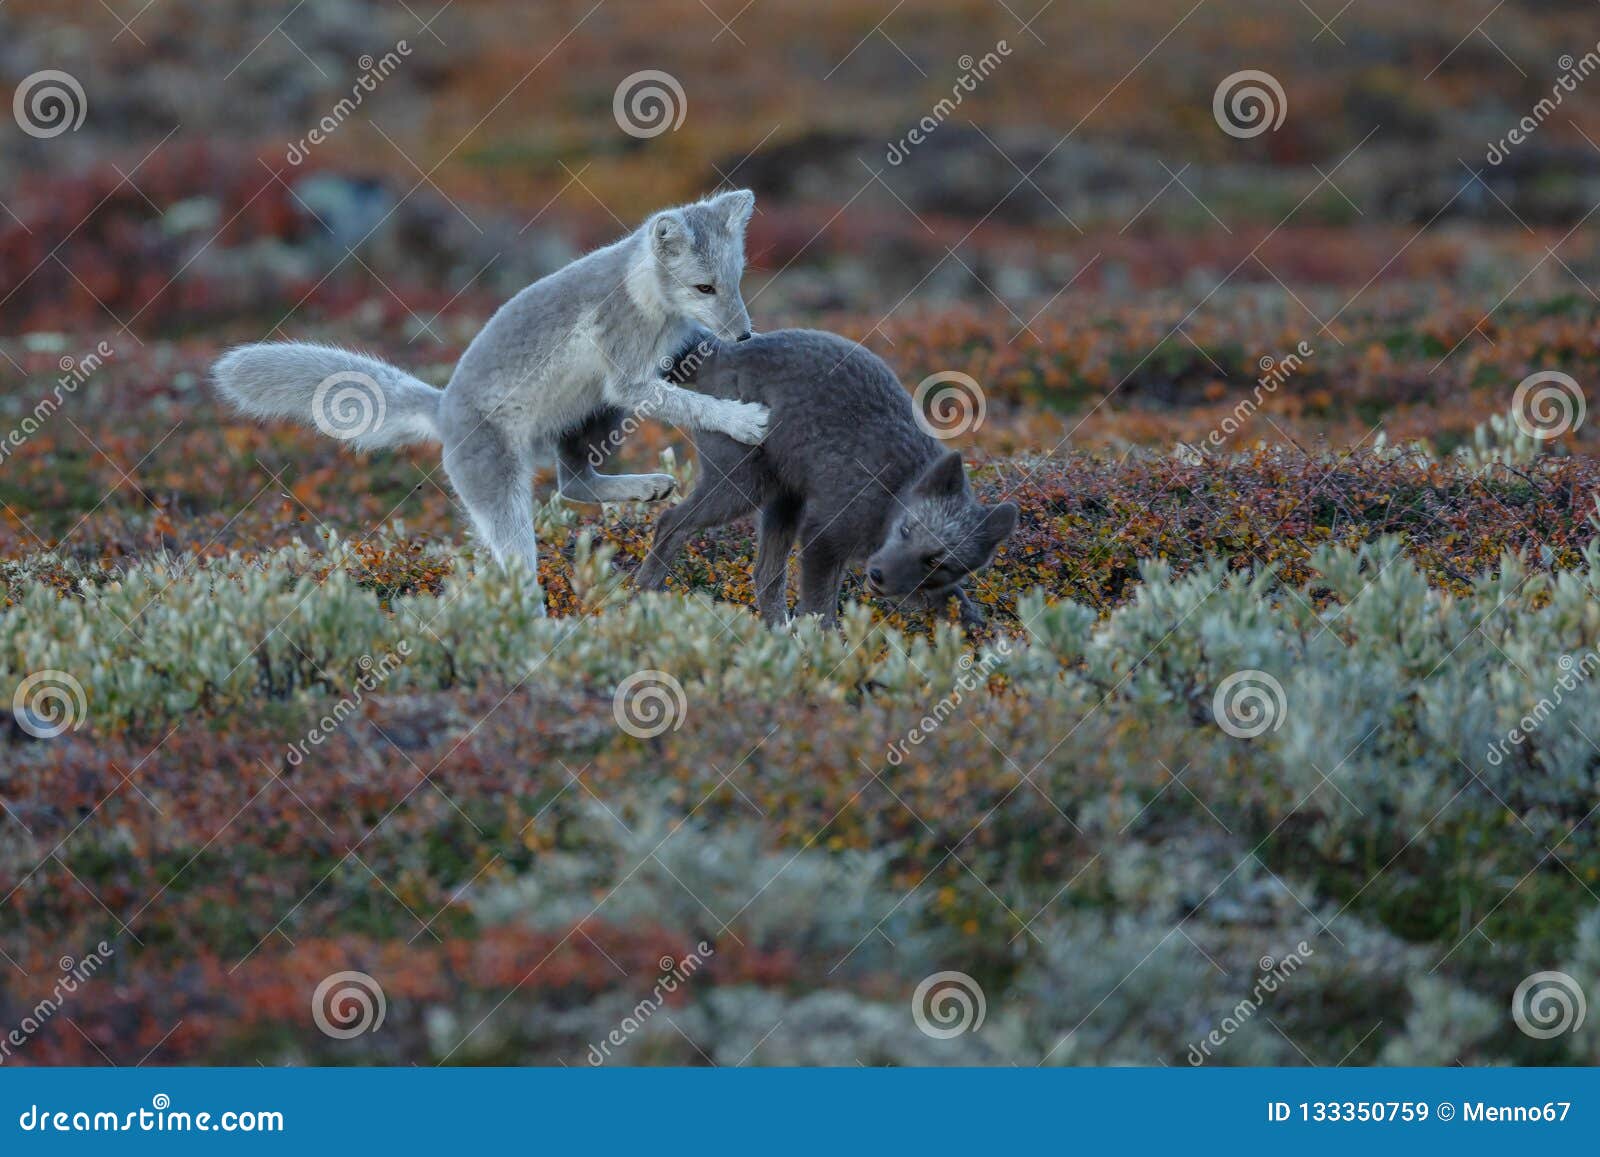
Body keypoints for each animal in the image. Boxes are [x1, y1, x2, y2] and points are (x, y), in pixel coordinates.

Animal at [211, 189, 770, 610]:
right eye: (703, 287)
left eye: (737, 281)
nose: (744, 334)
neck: (650, 302)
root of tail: (441, 408)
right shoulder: (629, 379)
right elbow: (691, 404)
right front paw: (740, 419)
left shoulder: (659, 363)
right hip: (511, 487)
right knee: (524, 555)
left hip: (597, 412)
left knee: (572, 485)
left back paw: (645, 487)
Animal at [630, 329, 1018, 627]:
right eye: (906, 530)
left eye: (938, 561)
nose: (878, 575)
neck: (894, 493)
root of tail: (724, 351)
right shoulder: (823, 537)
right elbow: (820, 612)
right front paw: (827, 652)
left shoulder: (908, 579)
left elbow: (957, 603)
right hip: (741, 488)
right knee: (670, 521)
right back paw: (644, 594)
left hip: (785, 500)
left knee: (764, 576)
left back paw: (777, 634)